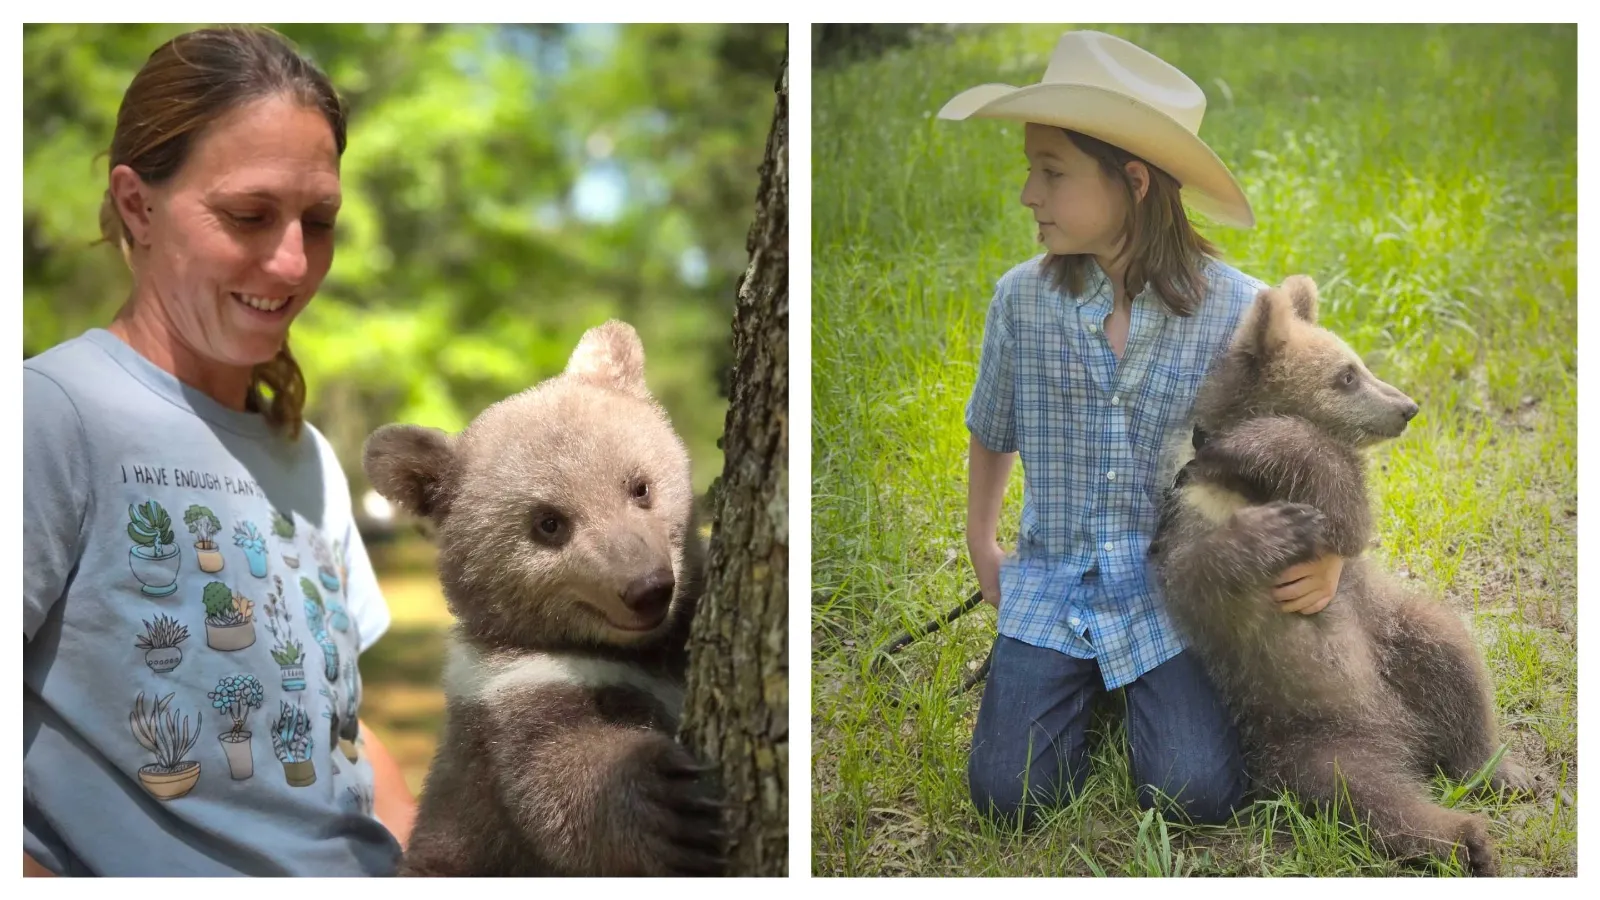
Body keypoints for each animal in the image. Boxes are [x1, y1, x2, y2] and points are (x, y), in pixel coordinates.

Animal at [362, 320, 725, 877]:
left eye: (640, 487)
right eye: (549, 523)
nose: (647, 589)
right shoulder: (513, 692)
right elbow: (554, 778)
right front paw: (670, 800)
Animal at [1150, 275, 1533, 877]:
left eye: (1357, 363)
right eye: (1346, 375)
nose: (1407, 407)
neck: (1248, 489)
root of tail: (1398, 729)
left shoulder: (1336, 526)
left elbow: (1344, 500)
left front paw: (1260, 440)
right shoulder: (1184, 528)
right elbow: (1200, 572)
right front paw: (1272, 527)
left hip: (1391, 632)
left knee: (1454, 659)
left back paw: (1496, 771)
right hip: (1305, 742)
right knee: (1370, 796)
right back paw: (1463, 836)